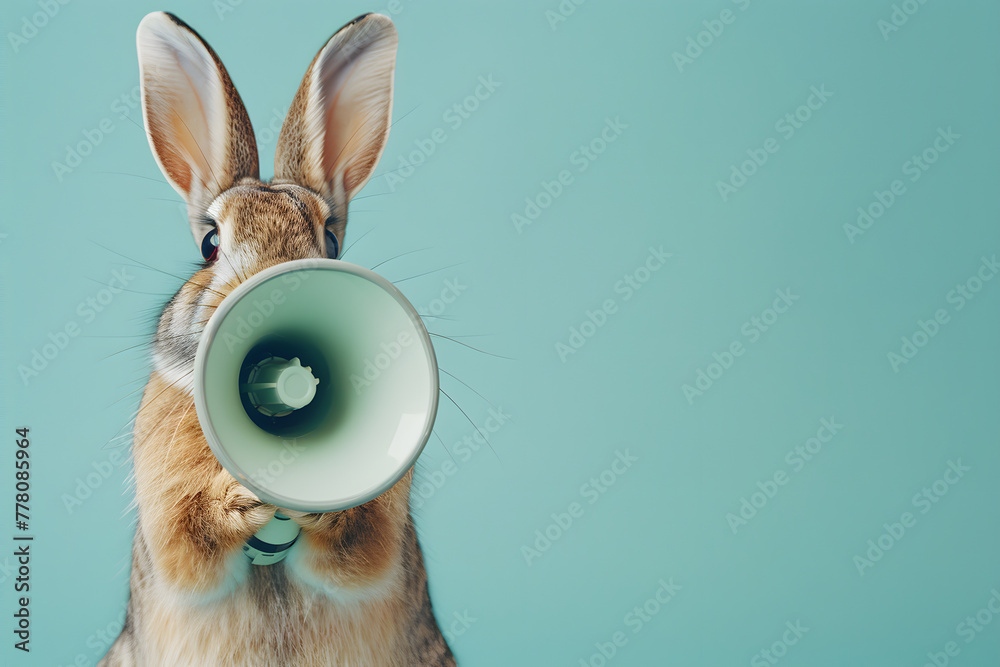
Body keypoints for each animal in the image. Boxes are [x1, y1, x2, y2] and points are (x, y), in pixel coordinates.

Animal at [99, 12, 455, 667]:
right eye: (211, 244)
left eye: (331, 241)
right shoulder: (169, 520)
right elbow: (190, 544)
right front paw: (240, 502)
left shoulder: (377, 543)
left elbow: (356, 551)